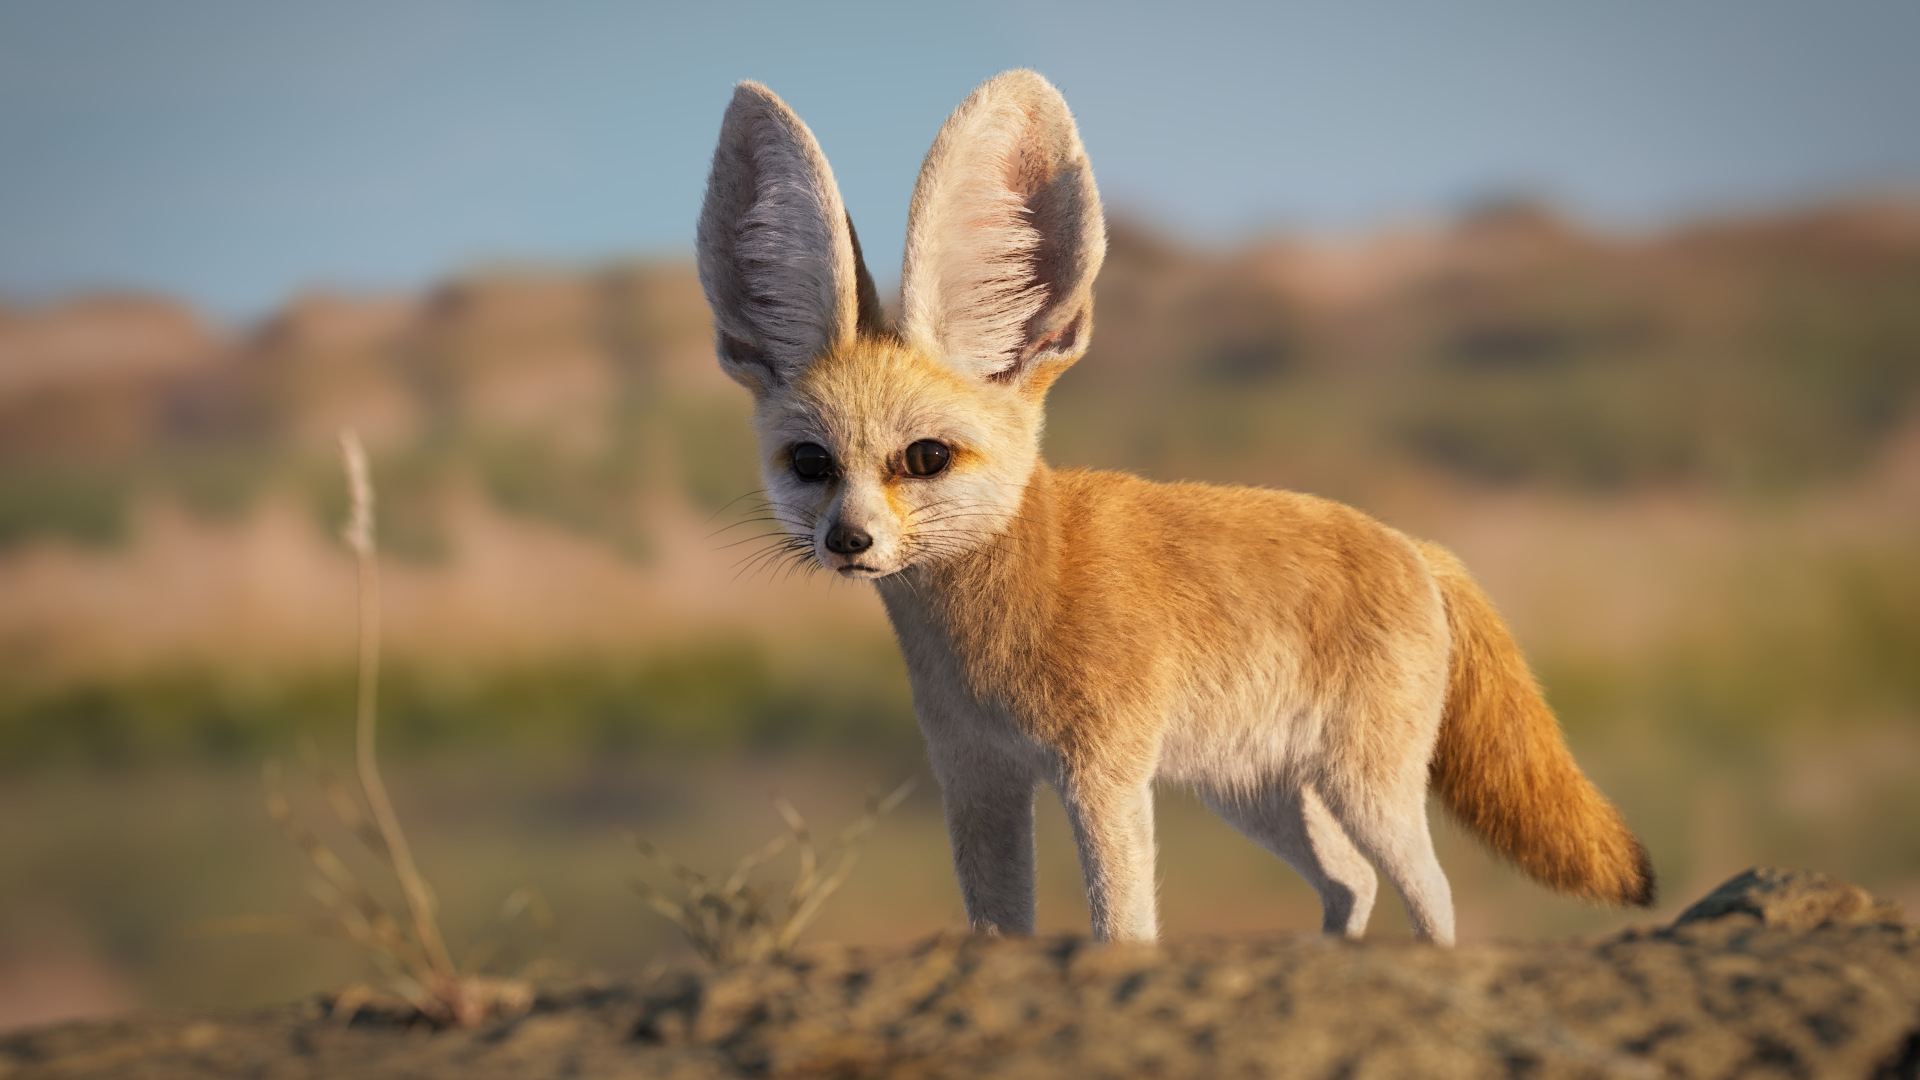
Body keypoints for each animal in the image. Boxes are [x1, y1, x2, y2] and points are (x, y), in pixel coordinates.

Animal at [693, 70, 1654, 945]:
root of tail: (1415, 544)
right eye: (811, 464)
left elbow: (1123, 929)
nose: (847, 540)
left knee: (1433, 893)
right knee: (1351, 882)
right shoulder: (975, 778)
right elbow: (997, 929)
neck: (992, 630)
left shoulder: (1104, 775)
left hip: (1362, 790)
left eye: (925, 458)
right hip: (1255, 796)